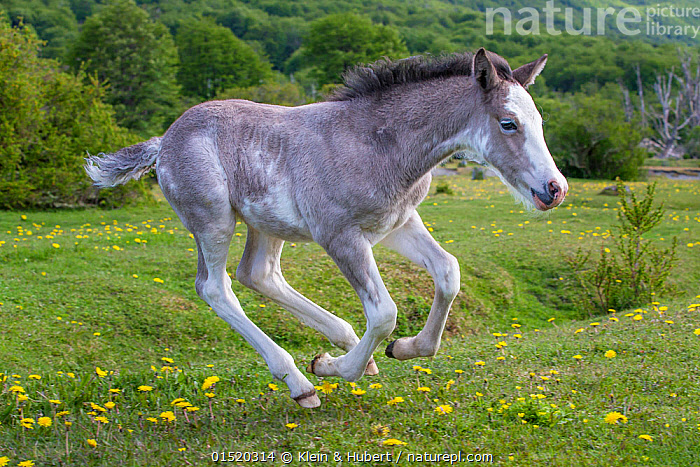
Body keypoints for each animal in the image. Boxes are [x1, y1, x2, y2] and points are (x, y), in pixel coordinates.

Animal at [85, 48, 568, 408]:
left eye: (541, 122)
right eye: (508, 123)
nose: (554, 189)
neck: (377, 145)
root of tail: (163, 141)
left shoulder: (397, 223)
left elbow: (448, 273)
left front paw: (403, 349)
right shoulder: (340, 237)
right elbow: (385, 312)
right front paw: (332, 367)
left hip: (266, 223)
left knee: (258, 274)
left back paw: (343, 346)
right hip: (213, 221)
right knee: (216, 287)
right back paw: (302, 382)